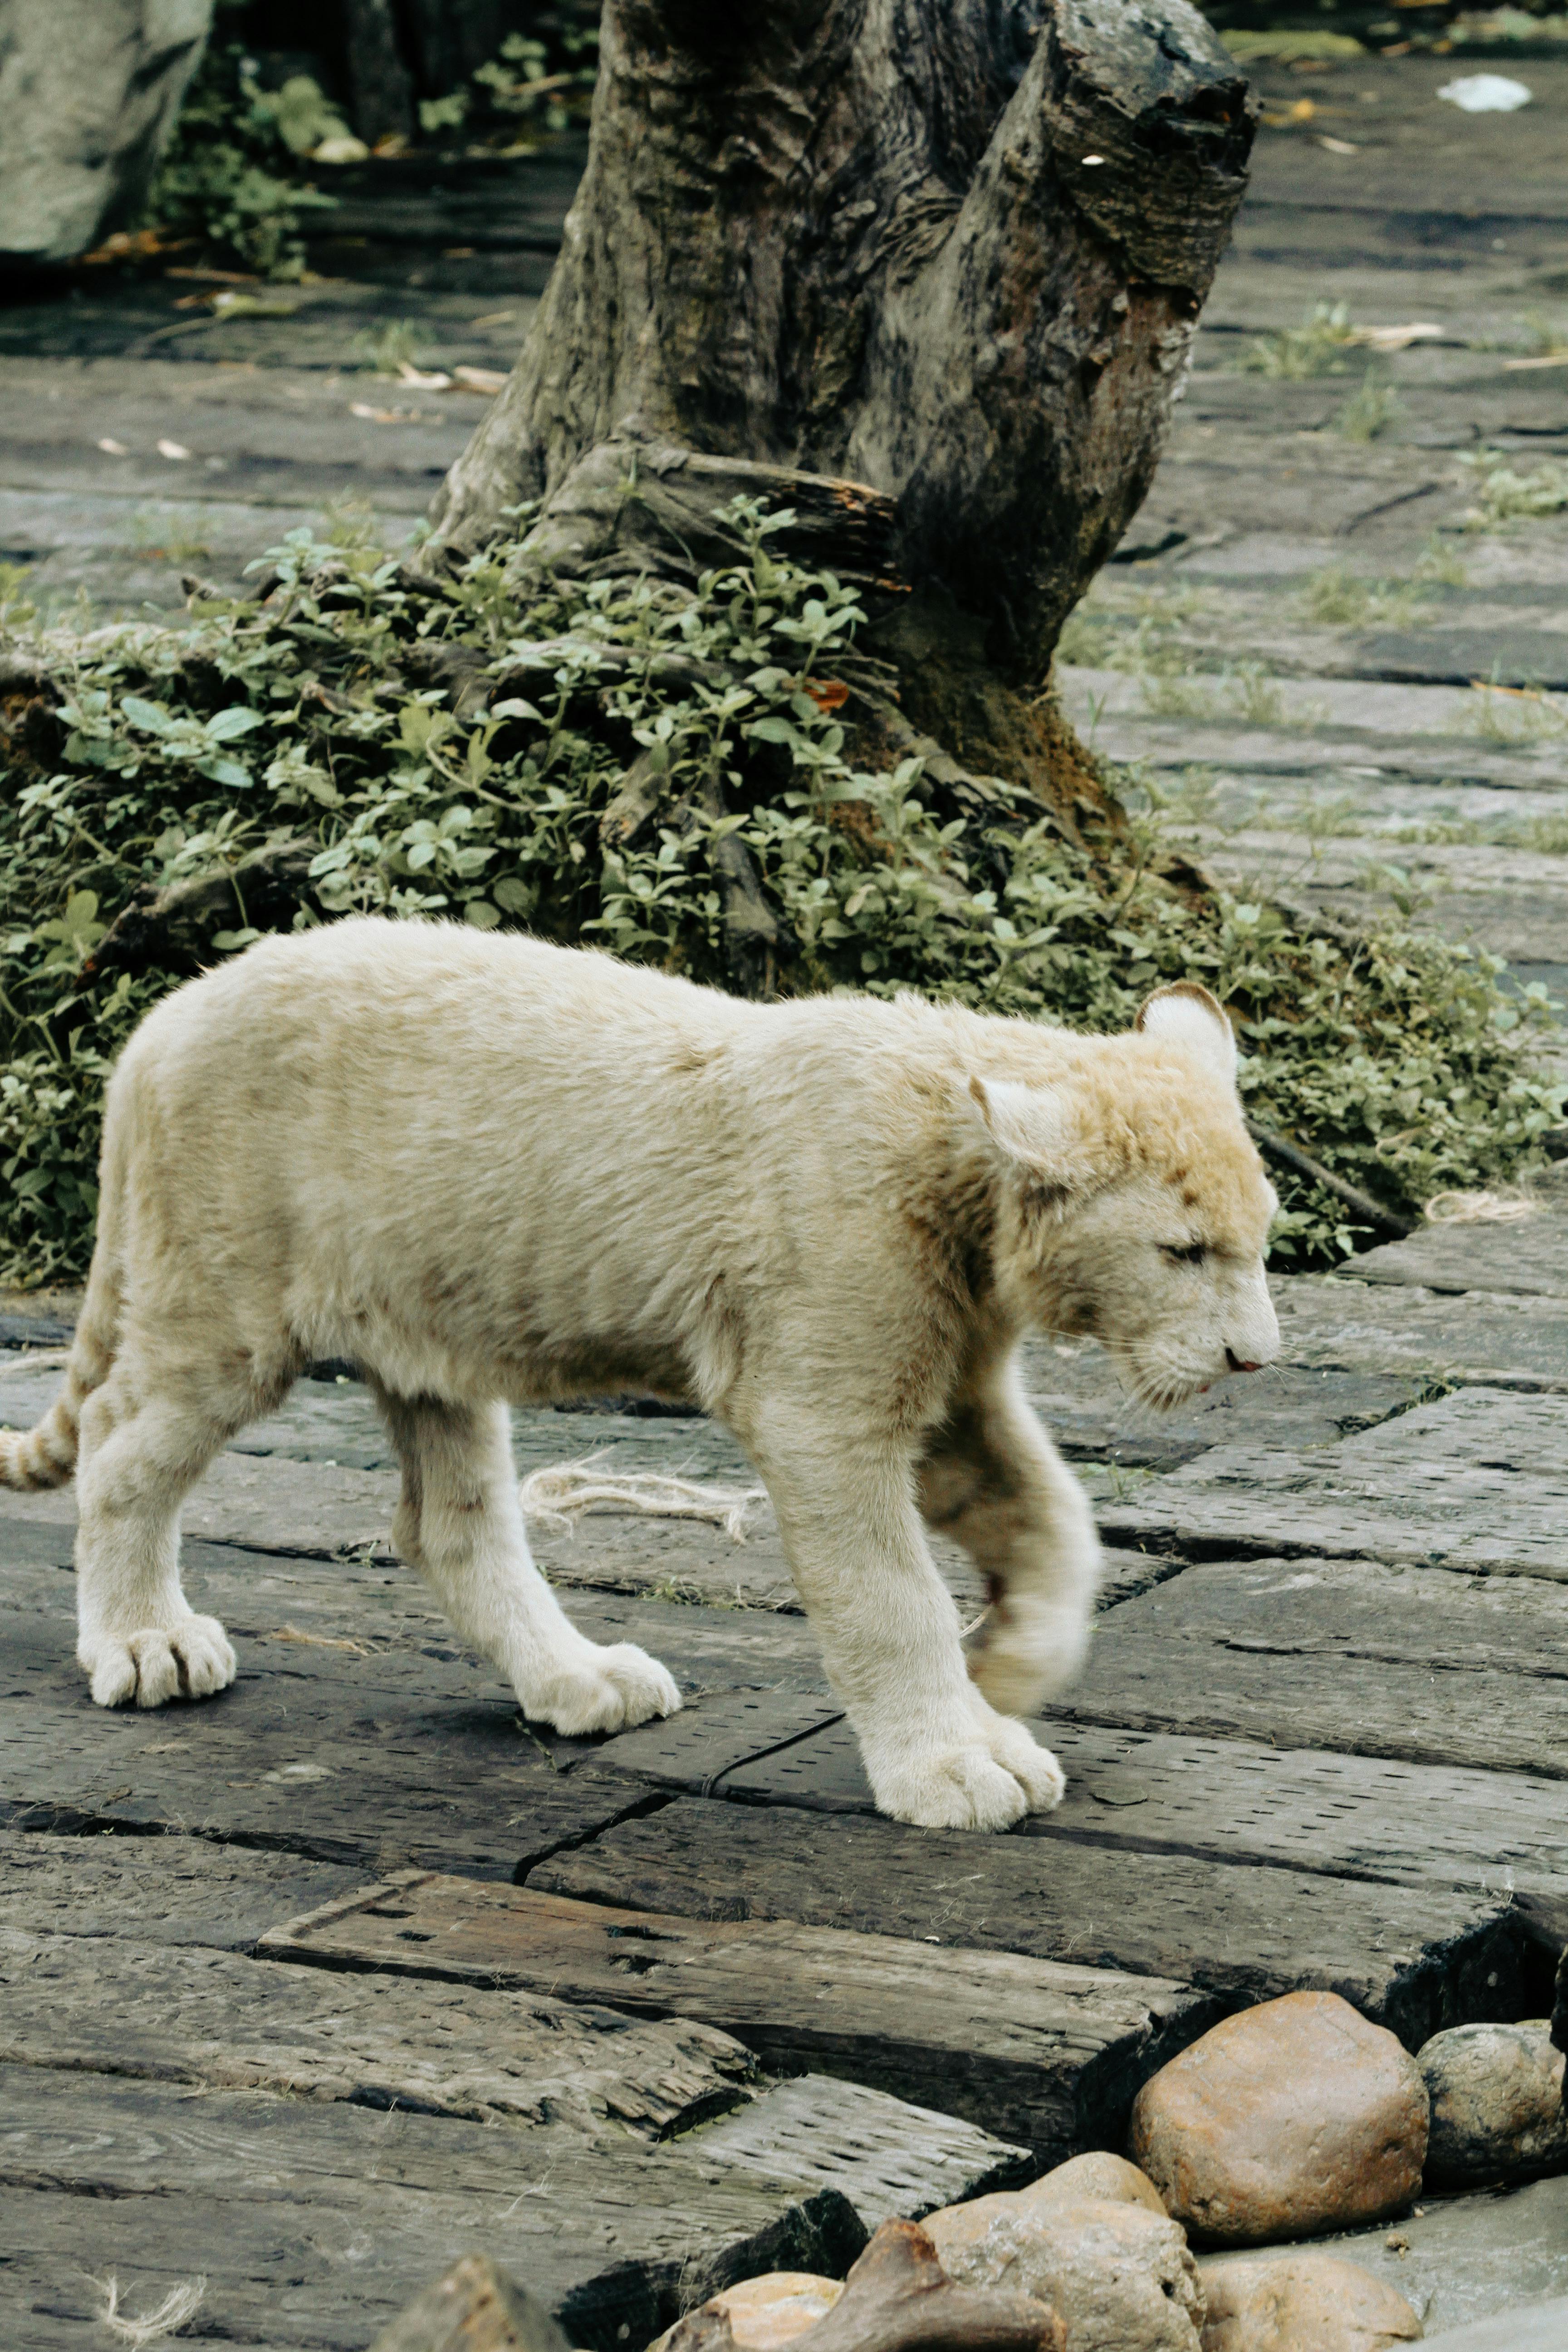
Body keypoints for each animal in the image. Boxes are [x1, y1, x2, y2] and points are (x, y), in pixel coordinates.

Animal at [1, 921, 1278, 1832]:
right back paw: (148, 1647)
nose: (1252, 1358)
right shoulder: (823, 1401)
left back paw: (581, 1682)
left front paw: (1005, 1671)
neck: (967, 1197)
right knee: (121, 1442)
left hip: (429, 1319)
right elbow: (888, 1594)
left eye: (1260, 1236)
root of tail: (160, 1021)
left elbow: (1056, 1521)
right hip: (227, 1298)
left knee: (447, 1521)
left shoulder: (952, 1382)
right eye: (1182, 1251)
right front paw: (956, 1765)